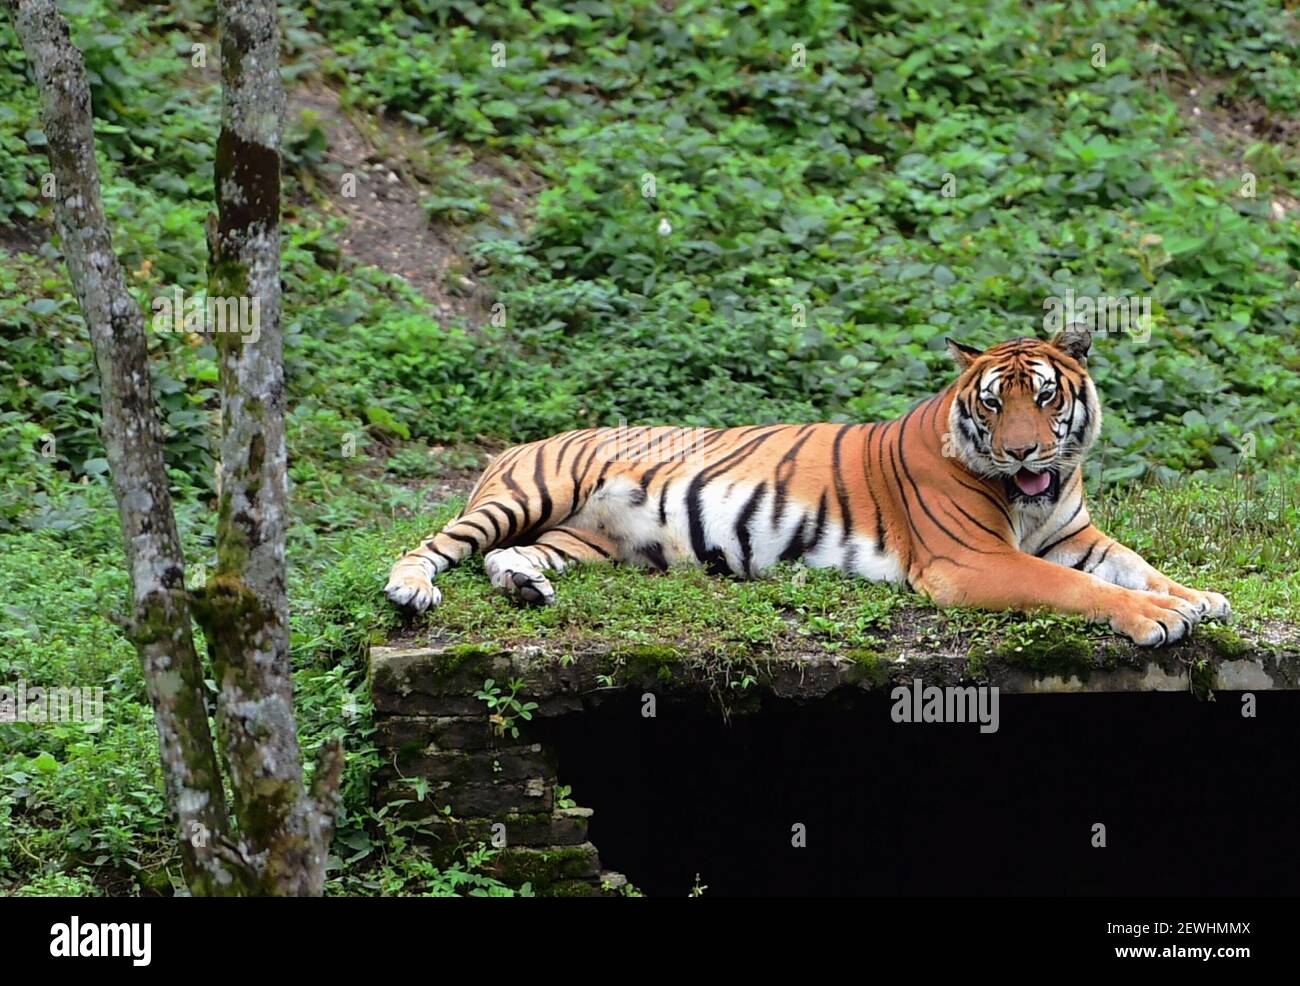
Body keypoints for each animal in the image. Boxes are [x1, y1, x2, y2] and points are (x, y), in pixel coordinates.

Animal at [385, 327, 1230, 646]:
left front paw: (1198, 597)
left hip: (580, 540)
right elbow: (1078, 588)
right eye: (995, 403)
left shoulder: (1074, 534)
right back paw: (411, 591)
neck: (1038, 497)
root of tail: (521, 441)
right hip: (530, 494)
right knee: (437, 544)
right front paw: (1159, 618)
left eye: (1047, 397)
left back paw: (525, 586)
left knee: (512, 555)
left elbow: (1136, 565)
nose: (1024, 450)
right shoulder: (972, 563)